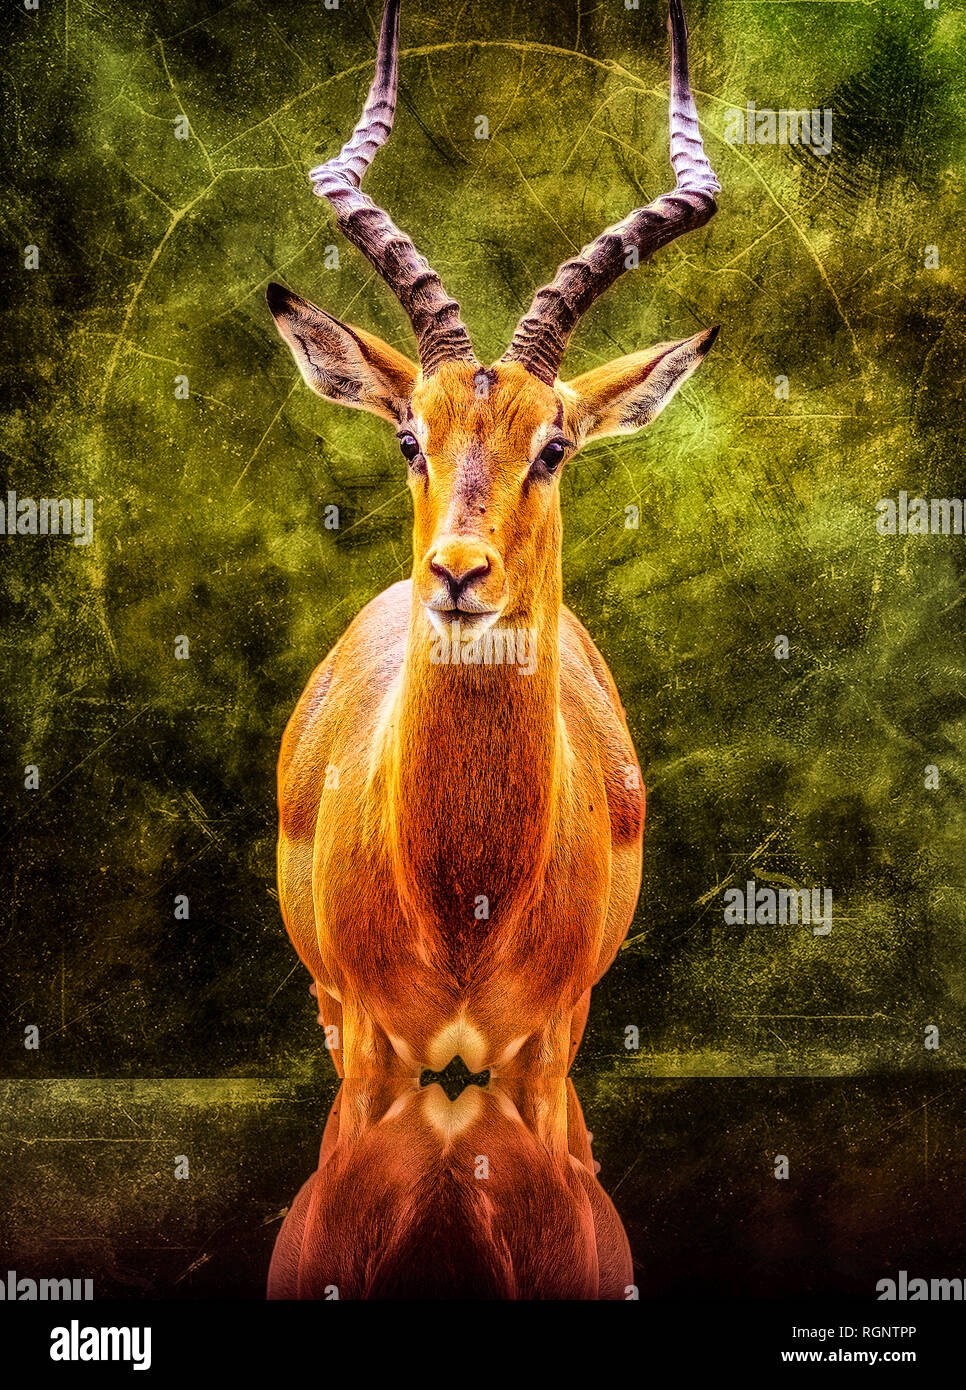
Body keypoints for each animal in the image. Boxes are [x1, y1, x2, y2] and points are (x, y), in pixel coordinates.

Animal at [267, 0, 719, 1298]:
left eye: (553, 444)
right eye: (411, 434)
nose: (459, 574)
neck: (464, 898)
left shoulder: (547, 1045)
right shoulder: (364, 1040)